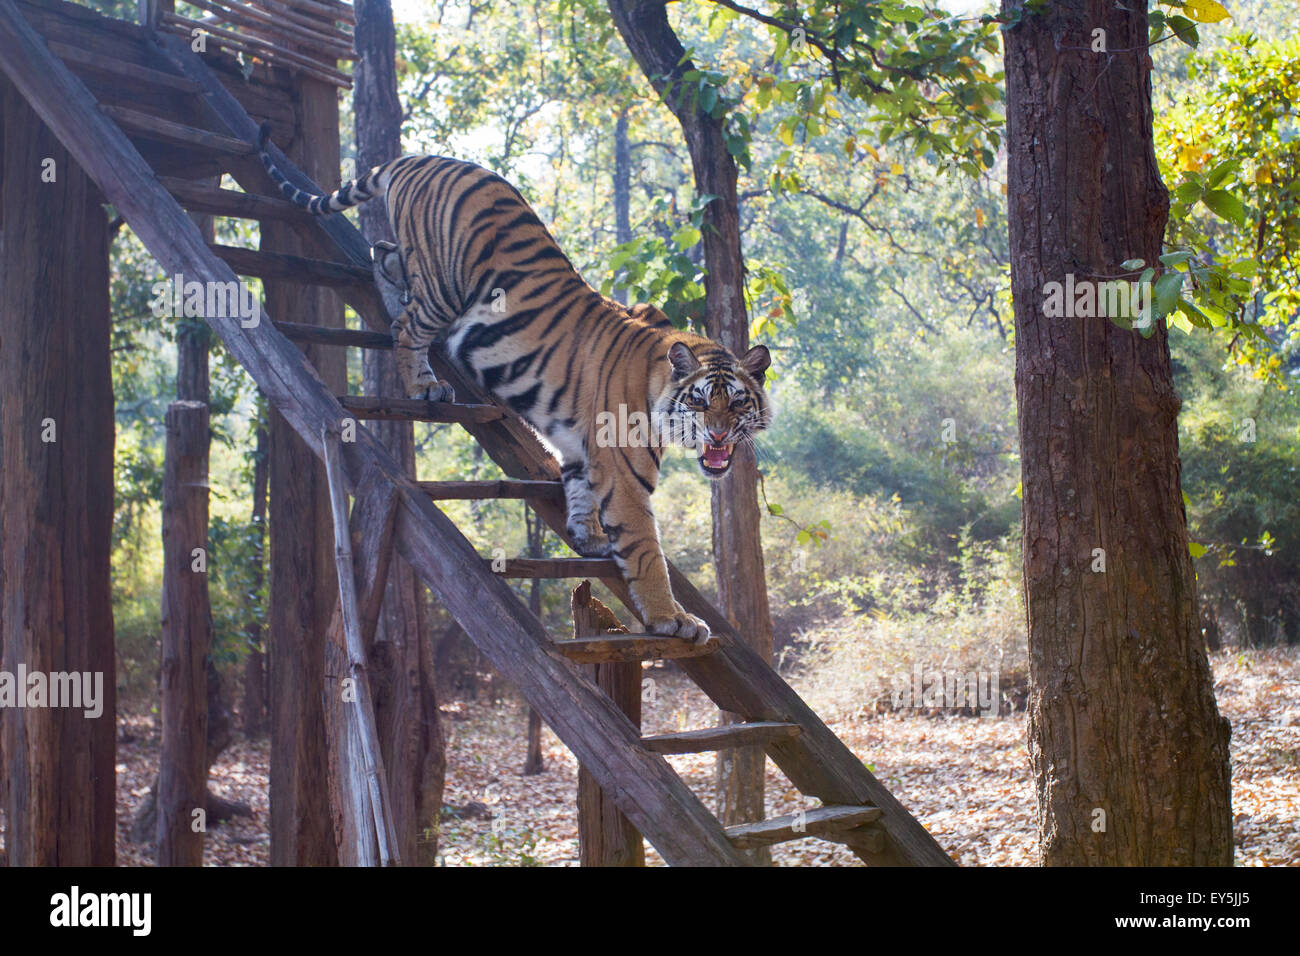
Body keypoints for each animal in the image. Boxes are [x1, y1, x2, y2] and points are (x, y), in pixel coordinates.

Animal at [257, 126, 771, 642]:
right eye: (701, 402)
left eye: (737, 404)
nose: (718, 434)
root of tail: (418, 159)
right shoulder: (625, 476)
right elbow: (647, 552)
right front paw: (673, 618)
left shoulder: (584, 449)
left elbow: (580, 490)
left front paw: (588, 538)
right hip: (443, 287)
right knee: (406, 324)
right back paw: (424, 384)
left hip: (420, 267)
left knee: (382, 255)